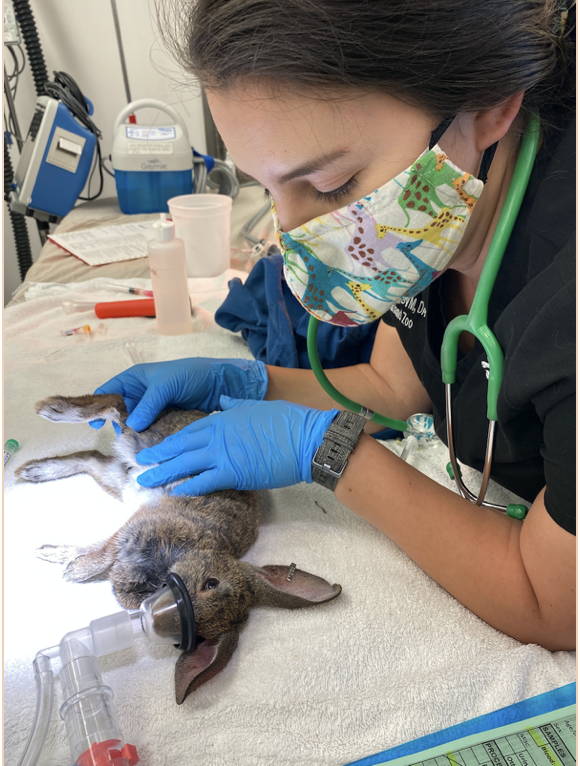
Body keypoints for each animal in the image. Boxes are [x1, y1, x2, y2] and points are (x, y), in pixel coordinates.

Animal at [16, 393, 342, 704]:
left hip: (122, 475)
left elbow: (104, 550)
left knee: (94, 456)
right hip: (147, 444)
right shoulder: (142, 523)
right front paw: (74, 571)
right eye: (210, 583)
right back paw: (52, 411)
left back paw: (37, 476)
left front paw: (58, 557)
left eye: (189, 636)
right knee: (115, 406)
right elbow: (106, 552)